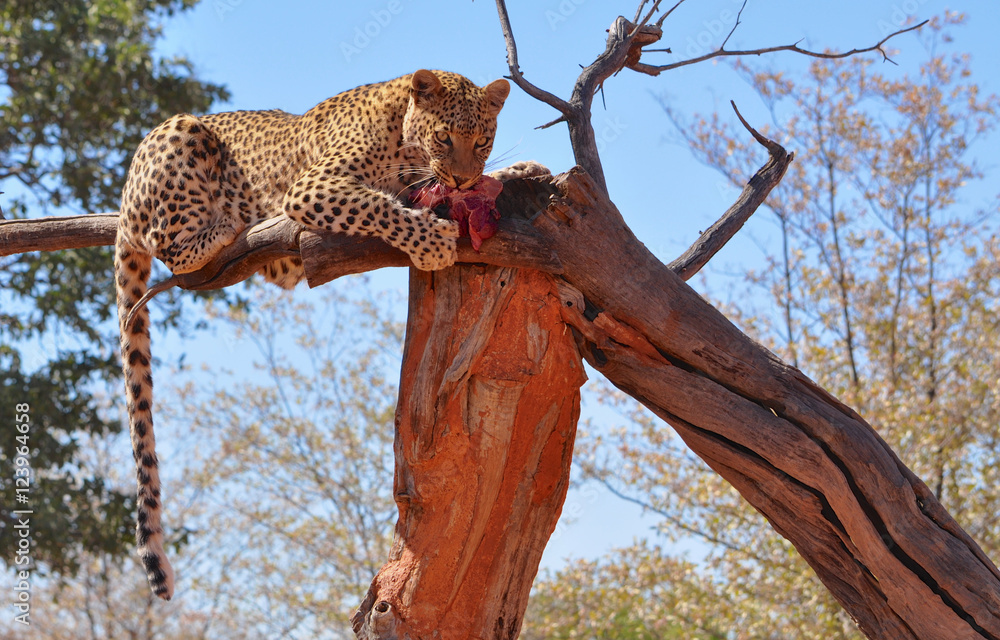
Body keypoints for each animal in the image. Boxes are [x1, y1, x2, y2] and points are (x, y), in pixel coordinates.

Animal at [113, 69, 548, 601]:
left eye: (482, 140)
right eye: (444, 137)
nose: (463, 179)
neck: (403, 136)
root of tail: (124, 196)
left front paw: (522, 170)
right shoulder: (312, 187)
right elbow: (378, 207)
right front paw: (432, 243)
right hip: (181, 135)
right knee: (167, 243)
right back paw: (224, 225)